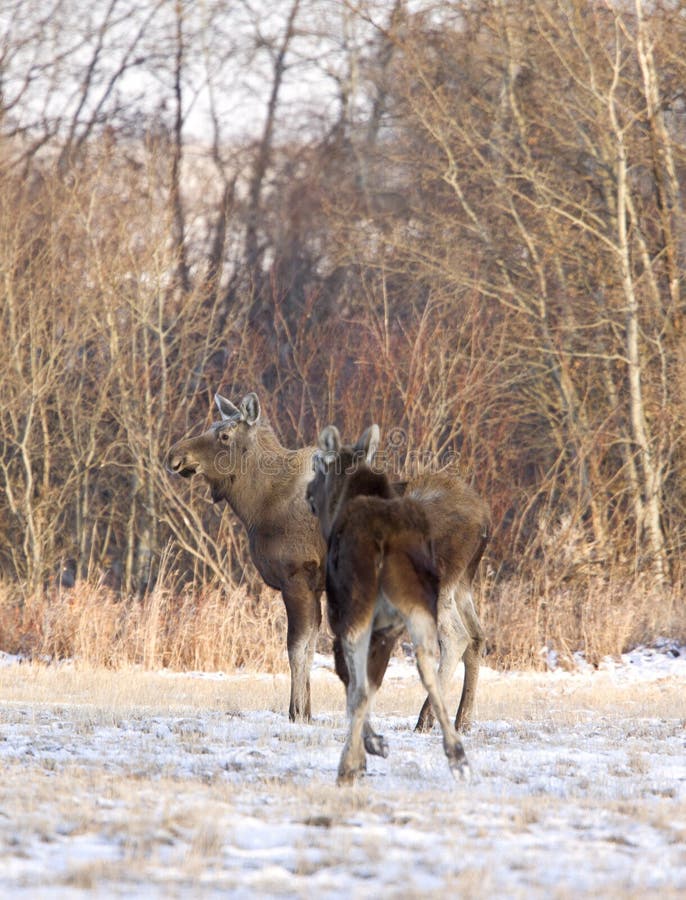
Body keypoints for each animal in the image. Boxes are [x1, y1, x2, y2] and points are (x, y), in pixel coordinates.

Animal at [166, 391, 489, 739]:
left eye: (224, 435)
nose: (174, 456)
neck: (257, 507)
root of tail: (485, 520)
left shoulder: (297, 576)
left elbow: (296, 646)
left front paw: (296, 713)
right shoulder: (316, 586)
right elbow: (309, 647)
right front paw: (306, 710)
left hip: (433, 582)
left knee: (456, 638)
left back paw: (426, 719)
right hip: (463, 583)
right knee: (477, 637)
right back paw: (463, 719)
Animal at [307, 424, 470, 784]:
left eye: (318, 465)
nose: (308, 492)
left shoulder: (340, 616)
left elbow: (353, 681)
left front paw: (367, 750)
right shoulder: (389, 627)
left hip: (355, 609)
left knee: (358, 687)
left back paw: (347, 767)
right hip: (420, 609)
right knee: (432, 665)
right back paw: (457, 754)